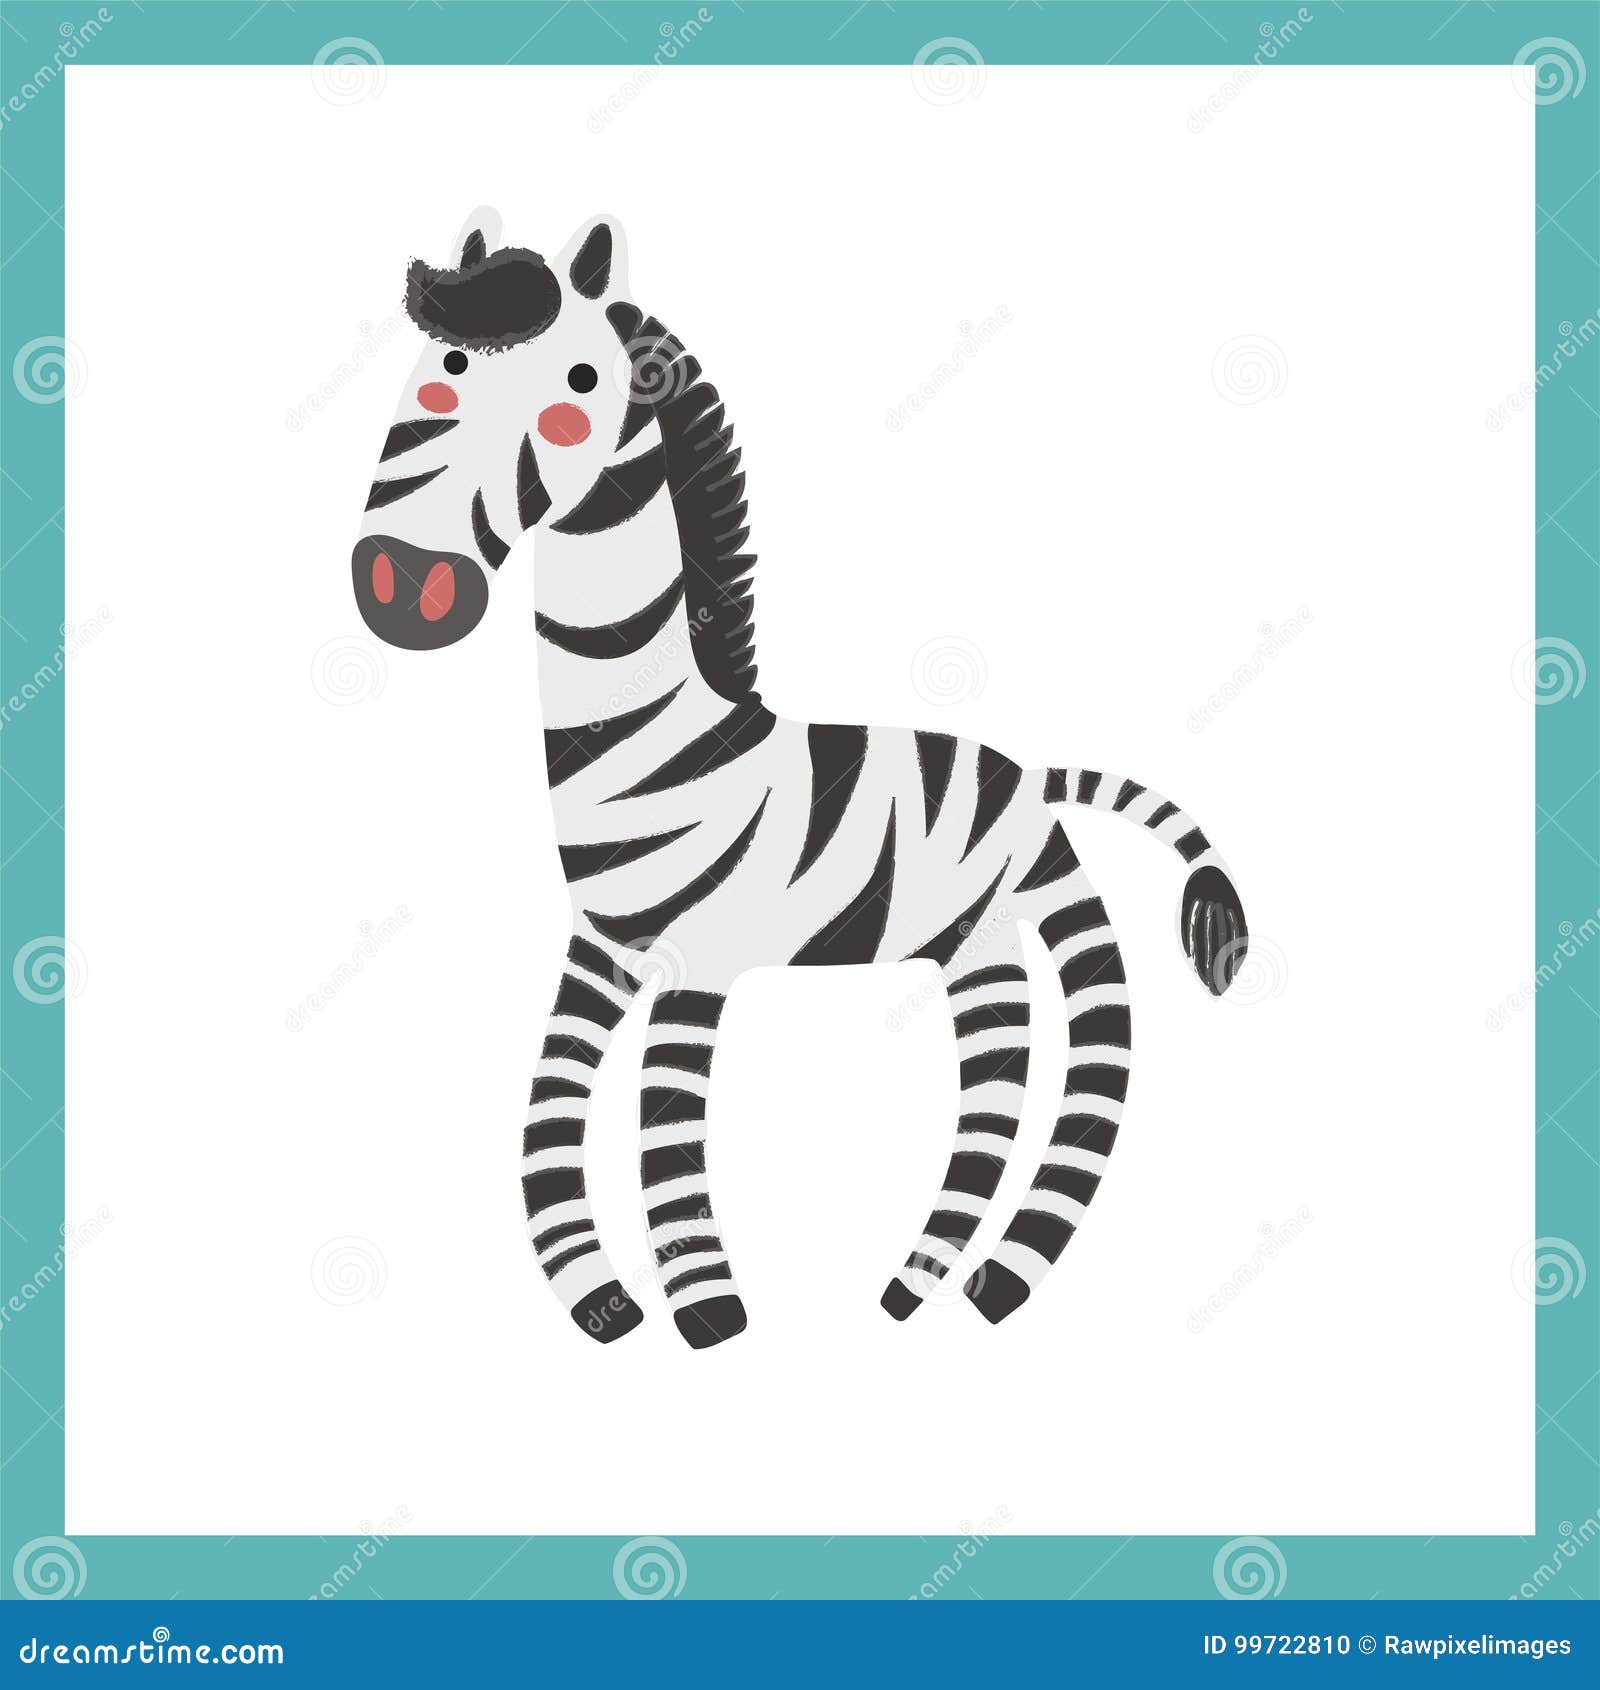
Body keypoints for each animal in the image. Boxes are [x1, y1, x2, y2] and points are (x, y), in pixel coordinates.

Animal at [350, 210, 1250, 1350]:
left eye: (580, 383)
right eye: (441, 370)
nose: (401, 588)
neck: (651, 734)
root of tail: (1035, 774)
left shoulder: (695, 963)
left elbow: (659, 1128)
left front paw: (706, 1309)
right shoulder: (600, 946)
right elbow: (550, 1108)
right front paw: (601, 1295)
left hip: (1038, 917)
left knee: (1081, 1046)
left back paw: (985, 1279)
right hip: (986, 937)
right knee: (1014, 1064)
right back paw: (935, 1281)